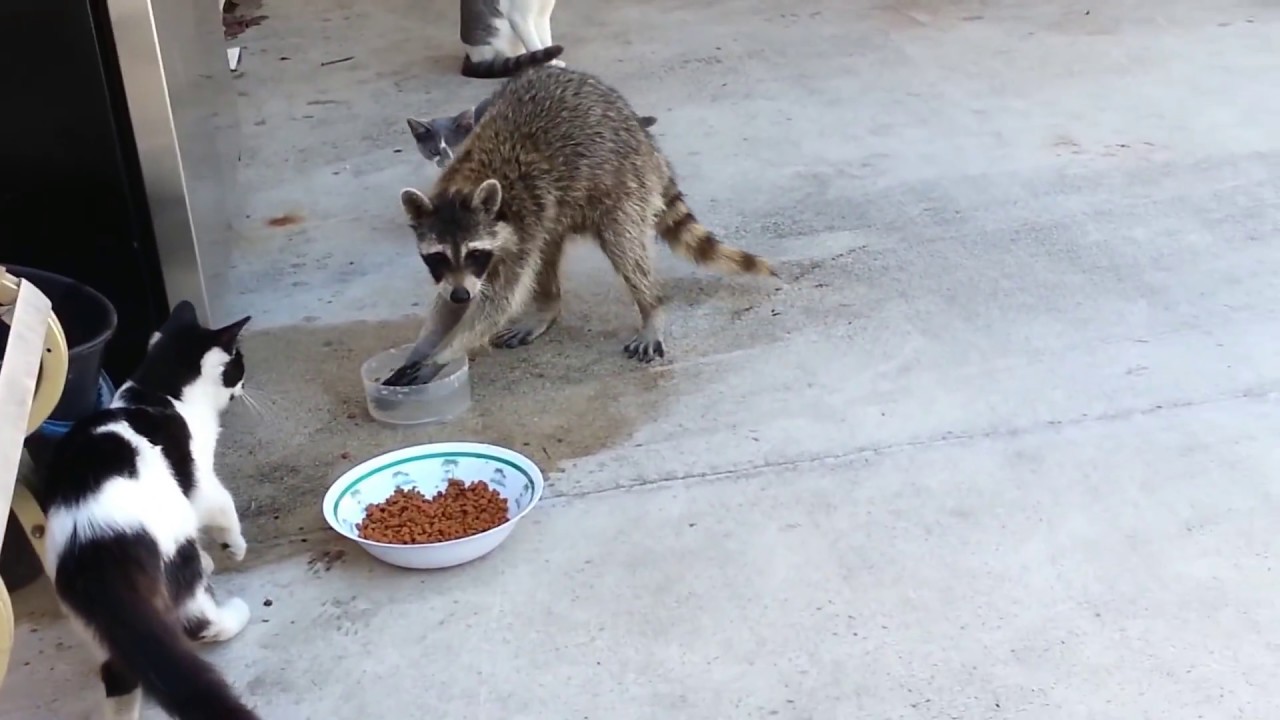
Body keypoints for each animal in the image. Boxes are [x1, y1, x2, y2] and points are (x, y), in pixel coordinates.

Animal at [382, 66, 777, 387]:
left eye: (475, 253)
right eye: (438, 258)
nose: (462, 295)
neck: (465, 183)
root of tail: (644, 137)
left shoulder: (521, 221)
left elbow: (498, 300)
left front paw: (444, 352)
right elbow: (449, 302)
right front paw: (424, 345)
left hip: (625, 184)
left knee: (624, 246)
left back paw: (651, 308)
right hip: (562, 210)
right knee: (549, 248)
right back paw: (547, 305)